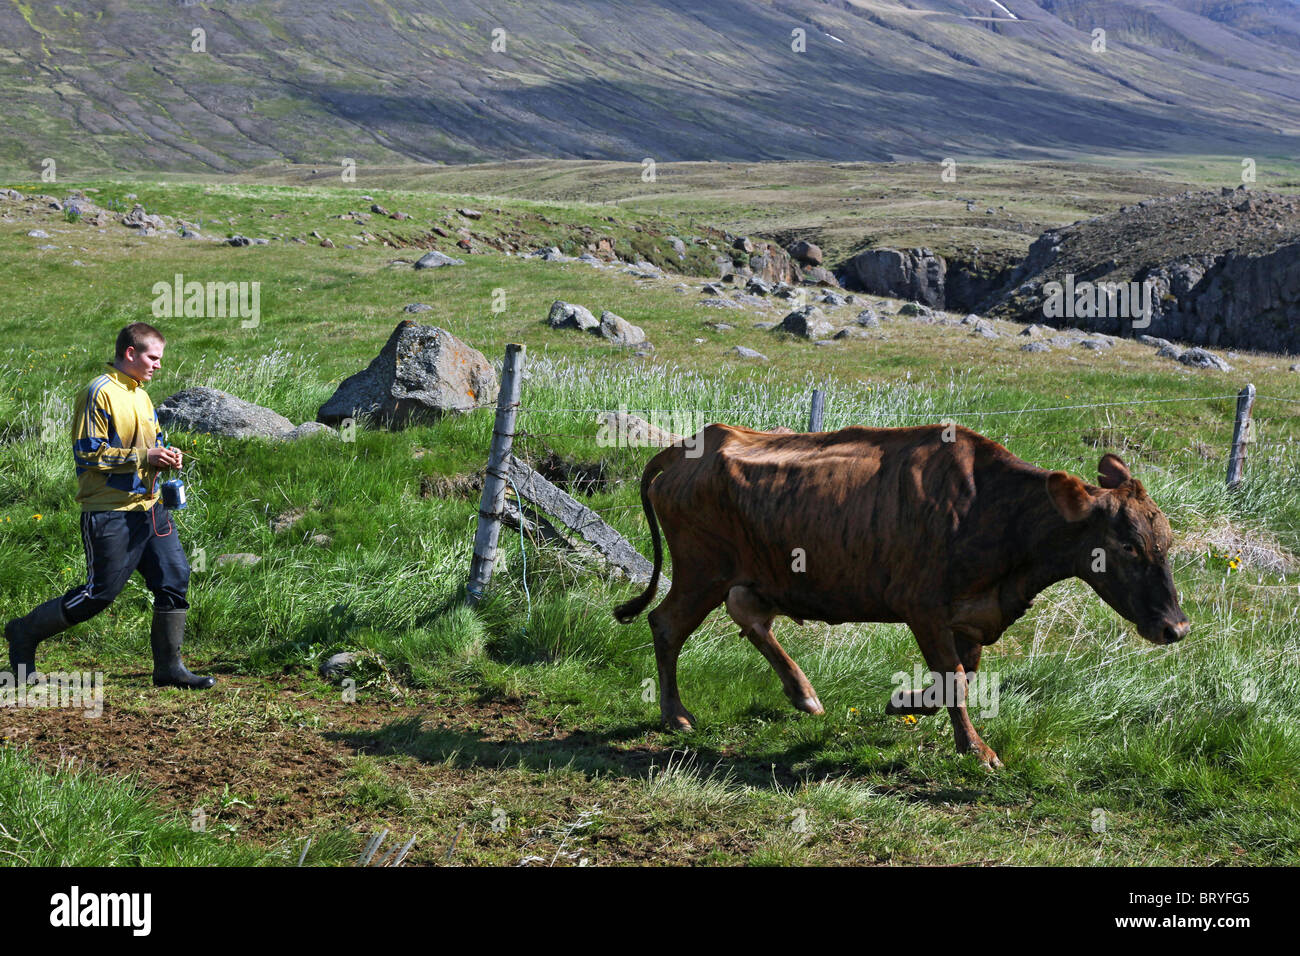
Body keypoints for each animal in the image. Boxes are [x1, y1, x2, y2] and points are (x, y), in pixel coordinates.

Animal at [613, 422, 1190, 768]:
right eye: (1127, 545)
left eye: (1165, 540)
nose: (1177, 627)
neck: (994, 511)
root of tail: (695, 442)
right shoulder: (923, 607)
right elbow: (954, 679)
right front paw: (977, 750)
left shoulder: (970, 615)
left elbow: (959, 677)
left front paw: (904, 702)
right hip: (701, 569)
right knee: (667, 624)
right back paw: (675, 715)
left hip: (752, 572)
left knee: (749, 616)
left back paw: (804, 694)